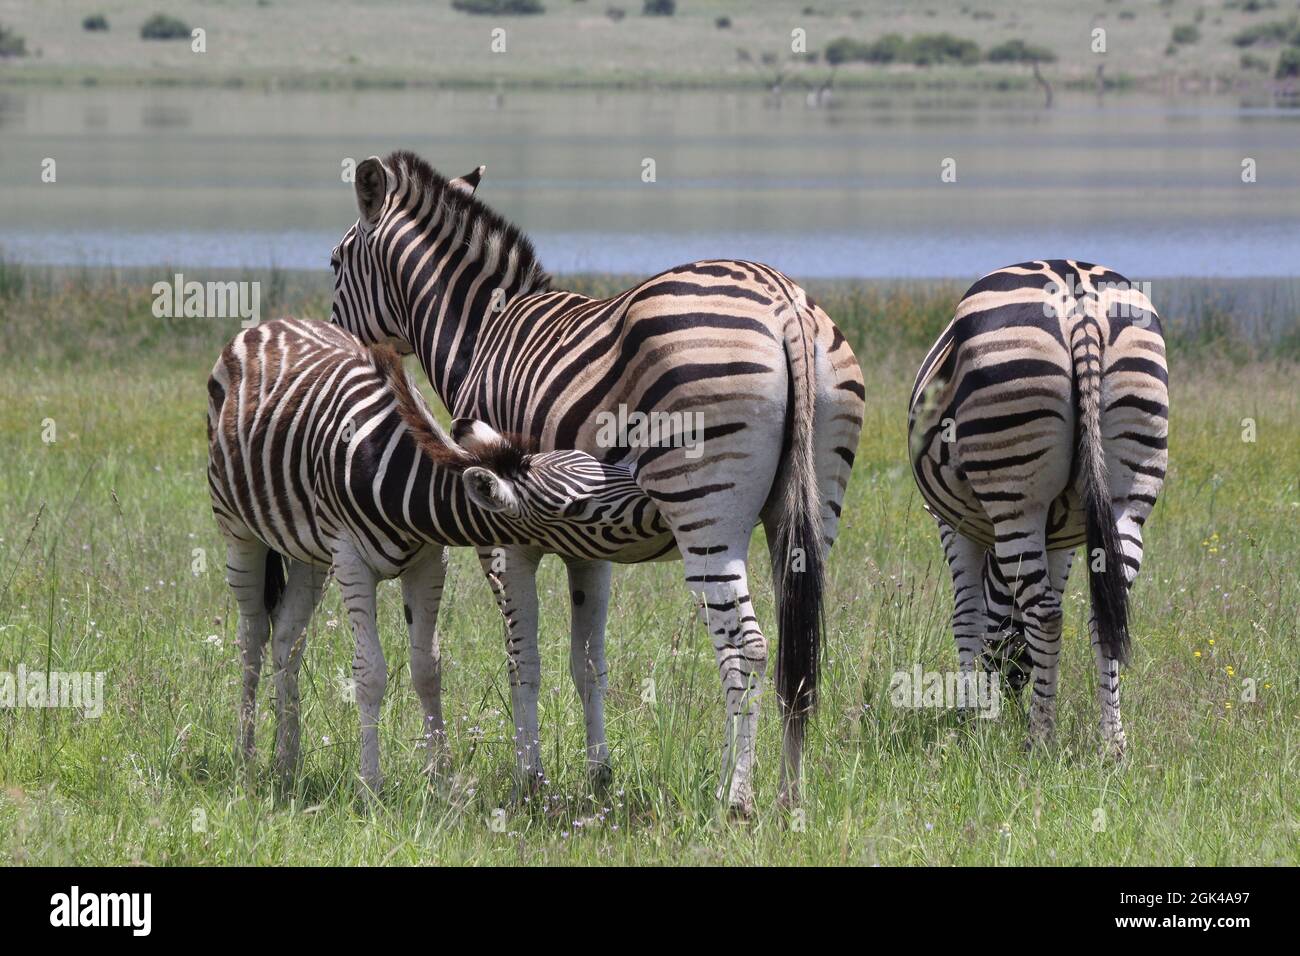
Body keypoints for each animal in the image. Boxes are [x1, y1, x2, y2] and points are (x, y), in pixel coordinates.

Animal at [207, 316, 666, 794]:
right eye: (576, 508)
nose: (661, 503)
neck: (397, 479)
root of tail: (272, 323)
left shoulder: (428, 560)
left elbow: (428, 667)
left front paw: (441, 779)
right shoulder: (350, 560)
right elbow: (369, 672)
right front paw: (371, 785)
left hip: (309, 555)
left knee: (285, 640)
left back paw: (287, 762)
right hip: (239, 531)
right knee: (251, 639)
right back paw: (246, 756)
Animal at [328, 151, 865, 813]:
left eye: (333, 264)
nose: (335, 345)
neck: (479, 334)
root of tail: (783, 301)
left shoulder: (502, 534)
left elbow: (523, 658)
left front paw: (528, 780)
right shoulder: (588, 546)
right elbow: (588, 662)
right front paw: (598, 775)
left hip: (704, 513)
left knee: (749, 646)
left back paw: (733, 796)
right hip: (815, 508)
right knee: (798, 642)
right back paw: (791, 795)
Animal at [907, 260, 1168, 755]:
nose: (1009, 697)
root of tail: (1081, 302)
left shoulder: (953, 526)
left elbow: (968, 617)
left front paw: (967, 718)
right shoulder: (1065, 538)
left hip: (1015, 491)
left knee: (1046, 615)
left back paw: (1039, 739)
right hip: (1129, 493)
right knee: (1105, 615)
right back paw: (1113, 744)